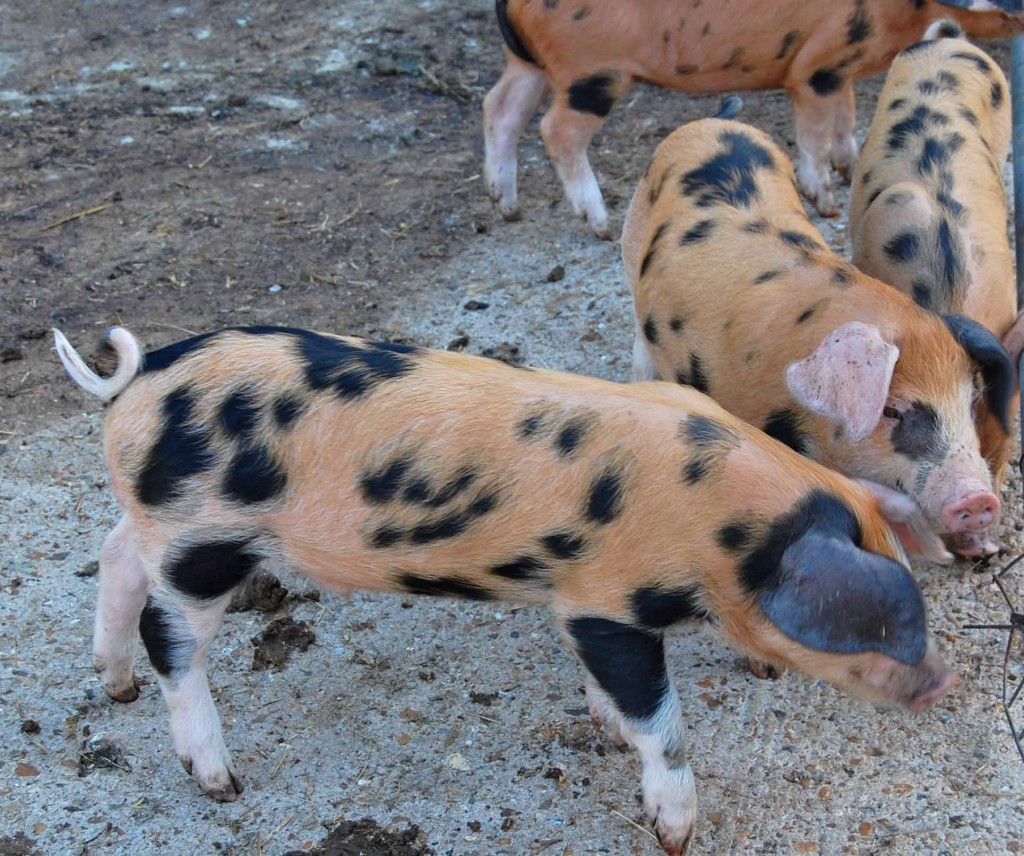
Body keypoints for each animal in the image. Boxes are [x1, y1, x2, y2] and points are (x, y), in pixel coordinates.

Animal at [53, 325, 957, 856]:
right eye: (877, 629)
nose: (938, 686)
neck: (723, 523)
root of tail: (136, 384)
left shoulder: (575, 603)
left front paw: (601, 734)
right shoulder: (607, 604)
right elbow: (656, 716)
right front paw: (674, 831)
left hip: (162, 526)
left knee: (115, 556)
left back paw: (113, 686)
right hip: (204, 541)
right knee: (168, 635)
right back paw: (220, 781)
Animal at [483, 0, 1024, 237]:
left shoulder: (842, 69)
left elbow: (847, 118)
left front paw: (851, 168)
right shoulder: (818, 66)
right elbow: (814, 132)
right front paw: (826, 203)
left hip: (528, 63)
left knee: (499, 108)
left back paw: (506, 207)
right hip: (592, 71)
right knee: (555, 130)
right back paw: (600, 225)